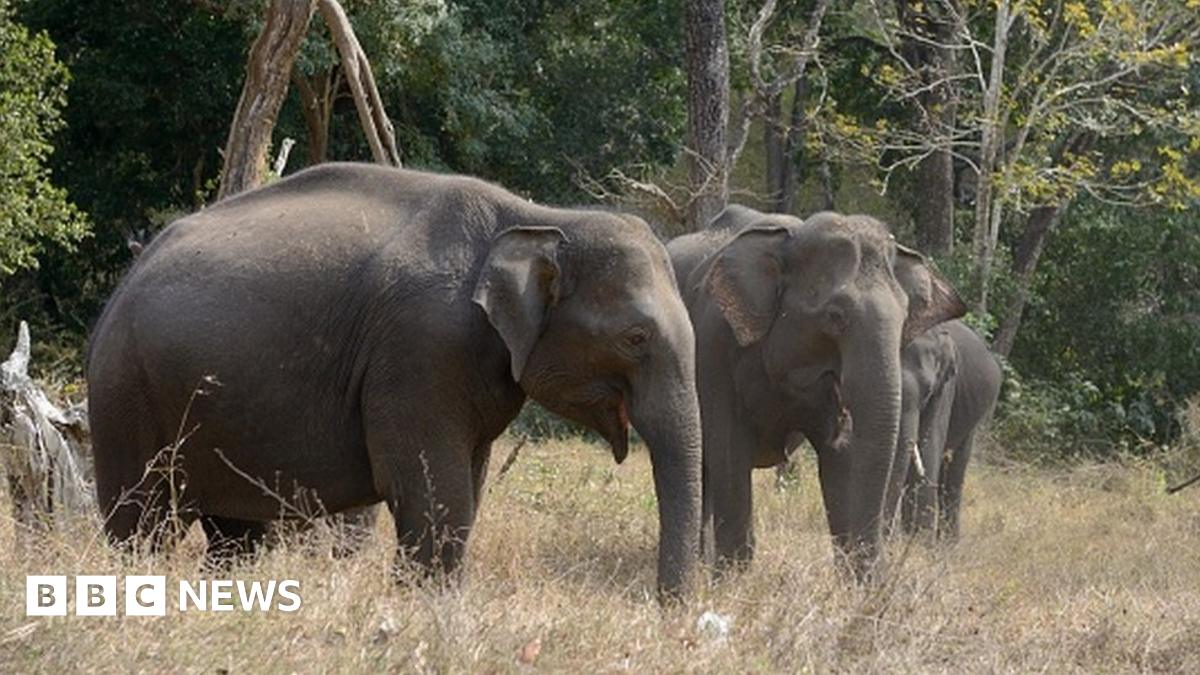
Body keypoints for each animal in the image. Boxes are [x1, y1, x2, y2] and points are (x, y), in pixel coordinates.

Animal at [86, 163, 702, 598]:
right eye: (636, 337)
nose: (666, 607)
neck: (537, 217)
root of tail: (125, 280)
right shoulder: (419, 348)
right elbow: (431, 489)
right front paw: (426, 608)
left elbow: (466, 487)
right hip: (127, 394)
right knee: (143, 523)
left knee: (235, 535)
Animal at [667, 204, 964, 577]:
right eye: (835, 316)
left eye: (905, 317)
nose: (879, 580)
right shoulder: (713, 344)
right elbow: (728, 449)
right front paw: (732, 578)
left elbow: (842, 455)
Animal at [884, 320, 1002, 541]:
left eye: (928, 391)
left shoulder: (946, 386)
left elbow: (930, 448)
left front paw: (919, 543)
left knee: (954, 475)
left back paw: (947, 545)